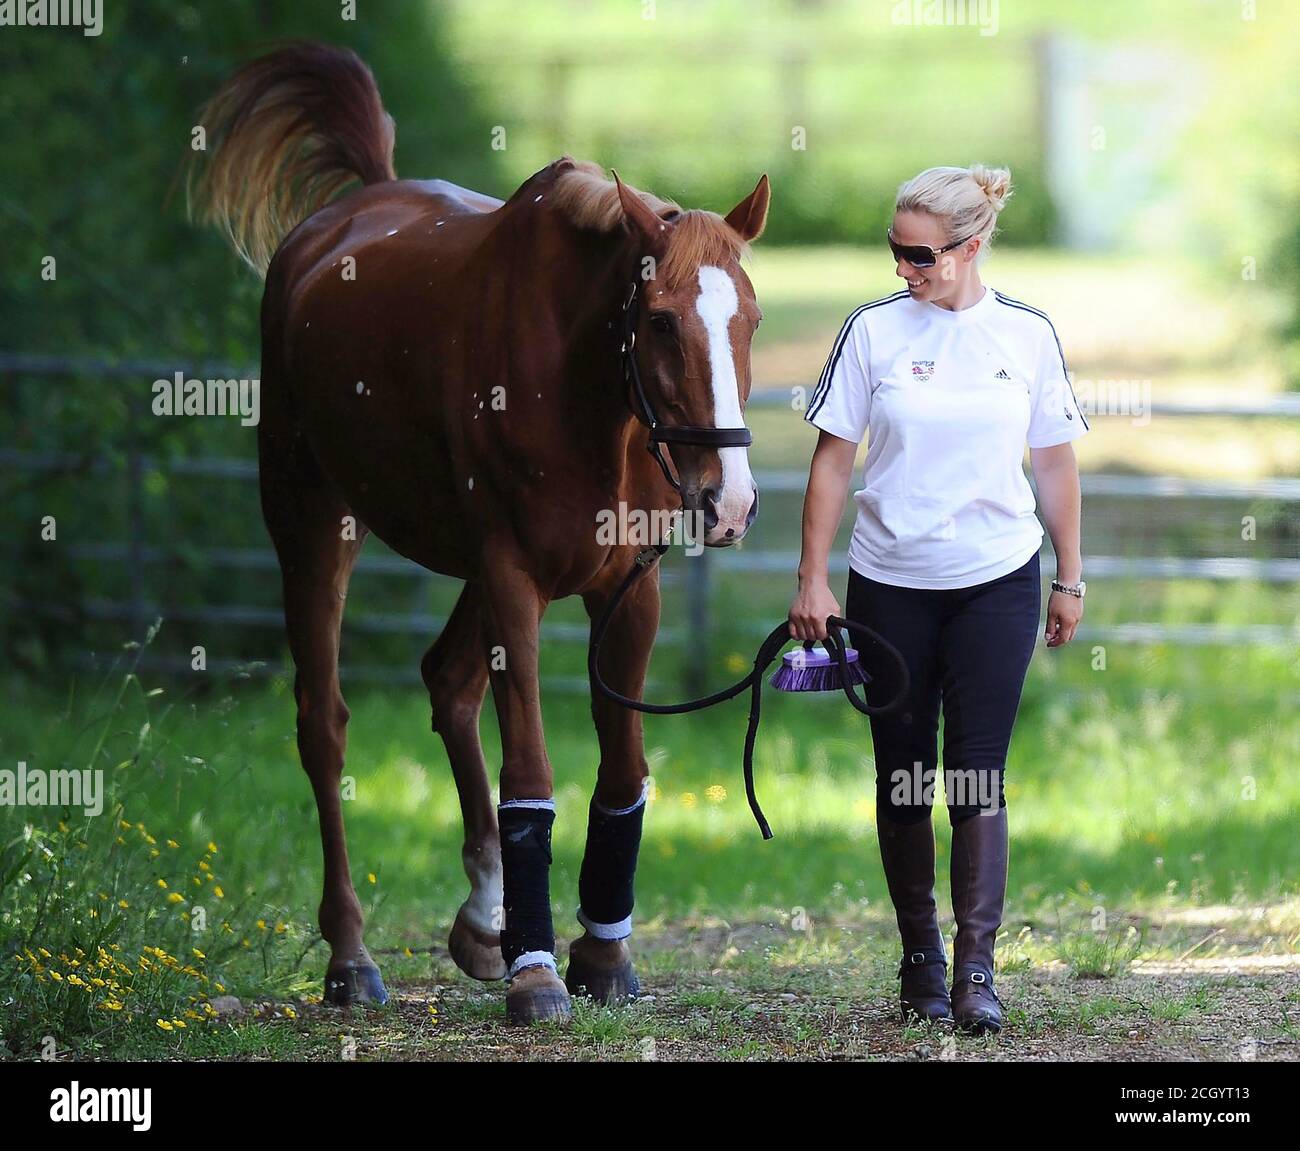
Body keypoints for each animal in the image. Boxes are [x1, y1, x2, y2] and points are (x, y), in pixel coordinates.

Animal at [191, 42, 769, 1023]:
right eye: (658, 320)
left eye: (752, 320)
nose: (726, 500)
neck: (585, 390)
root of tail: (342, 219)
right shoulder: (513, 577)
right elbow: (528, 773)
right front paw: (541, 973)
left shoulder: (628, 589)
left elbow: (622, 774)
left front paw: (600, 954)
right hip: (313, 525)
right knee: (324, 726)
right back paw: (352, 956)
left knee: (447, 682)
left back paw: (482, 918)